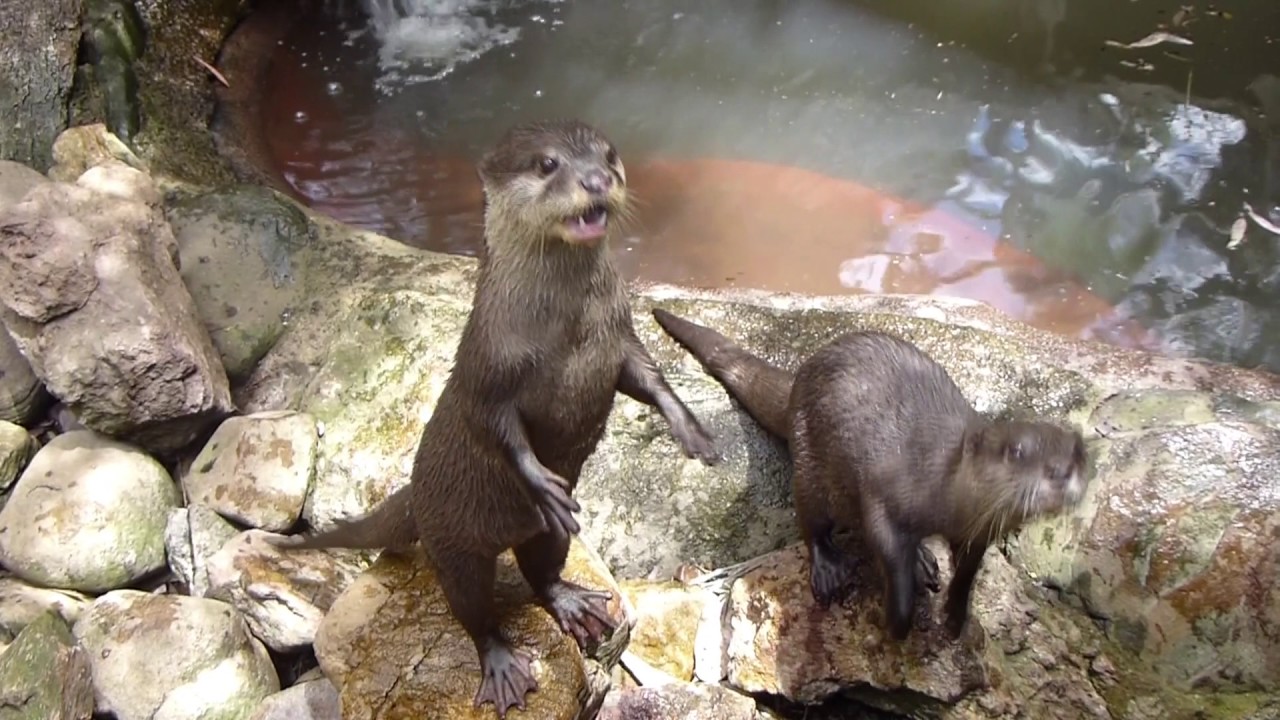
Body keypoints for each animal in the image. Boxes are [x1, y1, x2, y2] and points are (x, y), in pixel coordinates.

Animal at [271, 120, 720, 718]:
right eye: (548, 164)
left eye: (609, 155)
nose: (596, 180)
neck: (565, 331)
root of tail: (414, 494)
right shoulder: (487, 365)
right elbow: (494, 426)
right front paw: (544, 484)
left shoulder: (617, 340)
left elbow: (648, 378)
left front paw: (690, 428)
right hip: (452, 547)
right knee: (475, 613)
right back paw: (502, 664)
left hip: (543, 539)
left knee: (542, 571)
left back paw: (575, 605)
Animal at [651, 309, 1087, 640]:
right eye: (1017, 451)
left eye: (1078, 452)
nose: (1062, 471)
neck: (941, 486)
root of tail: (798, 380)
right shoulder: (884, 493)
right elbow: (885, 545)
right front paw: (898, 621)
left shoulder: (978, 531)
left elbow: (967, 572)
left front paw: (955, 616)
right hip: (810, 466)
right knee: (812, 520)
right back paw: (830, 568)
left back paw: (924, 559)